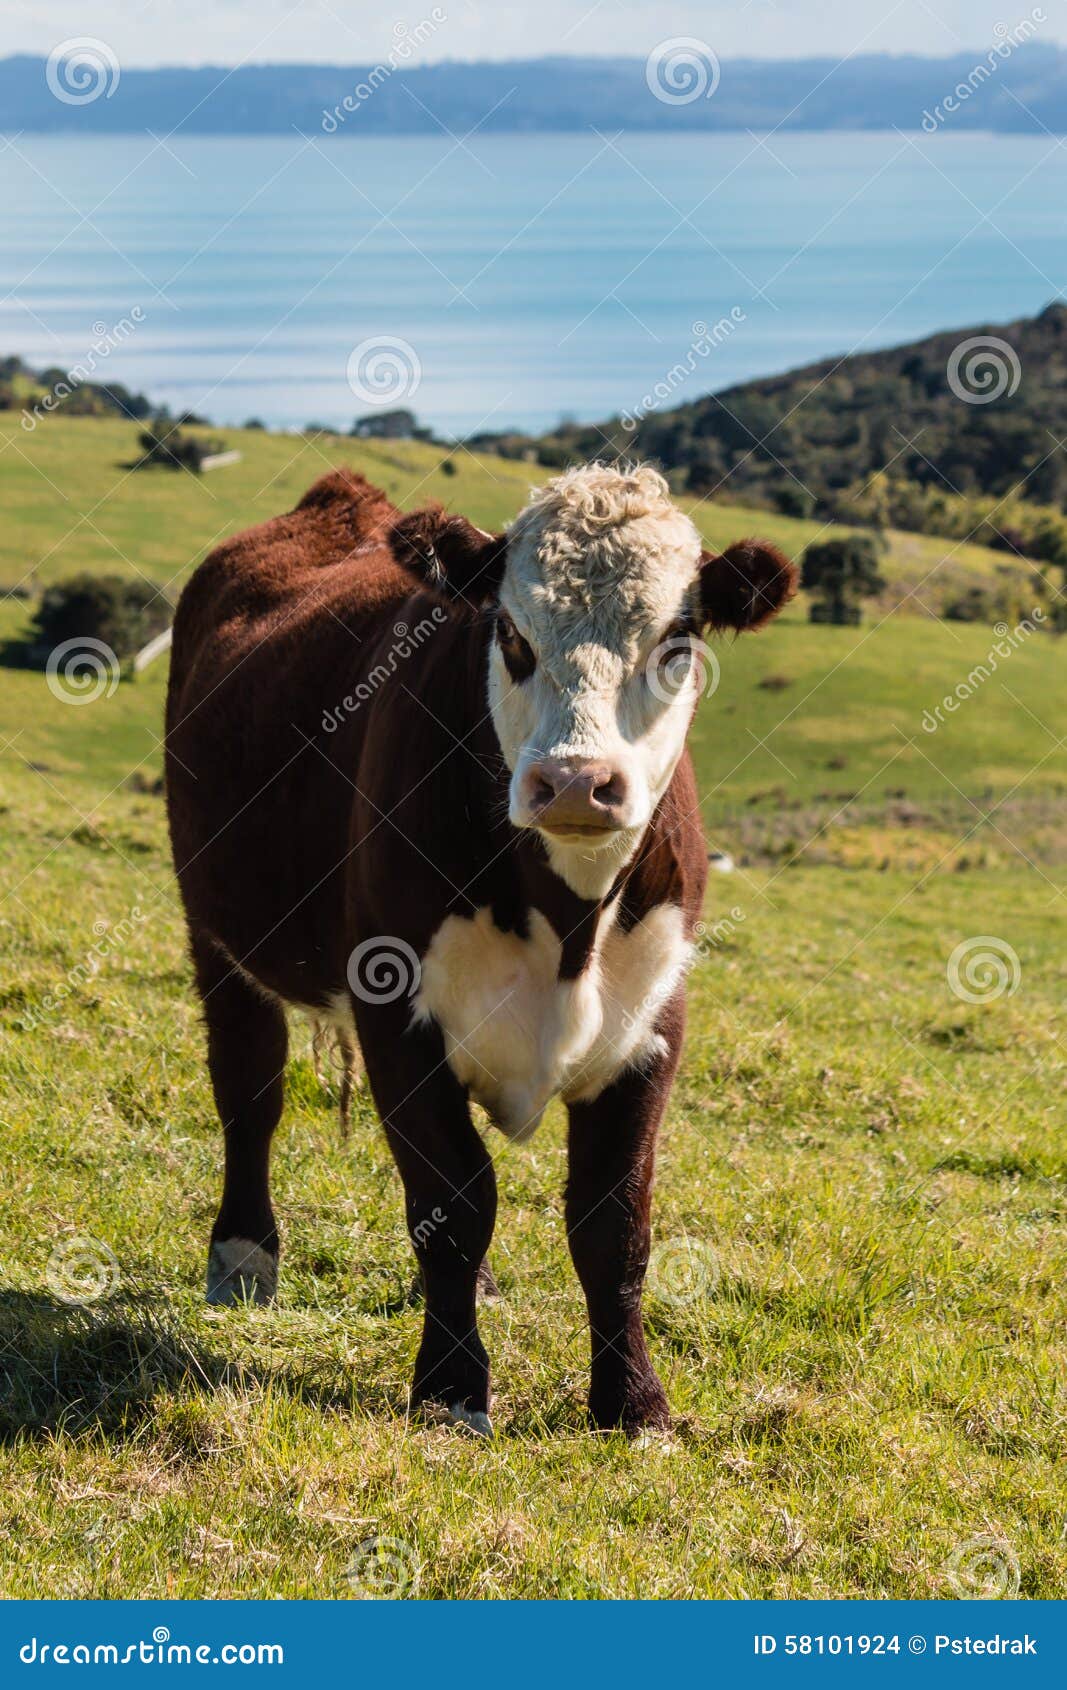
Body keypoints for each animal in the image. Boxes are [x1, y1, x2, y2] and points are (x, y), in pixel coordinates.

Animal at [165, 462, 795, 1436]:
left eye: (677, 639)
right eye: (509, 633)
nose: (574, 780)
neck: (567, 927)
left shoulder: (653, 1026)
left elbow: (613, 1222)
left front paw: (633, 1403)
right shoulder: (394, 1009)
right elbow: (454, 1199)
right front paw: (452, 1386)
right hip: (218, 932)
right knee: (250, 1088)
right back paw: (242, 1256)